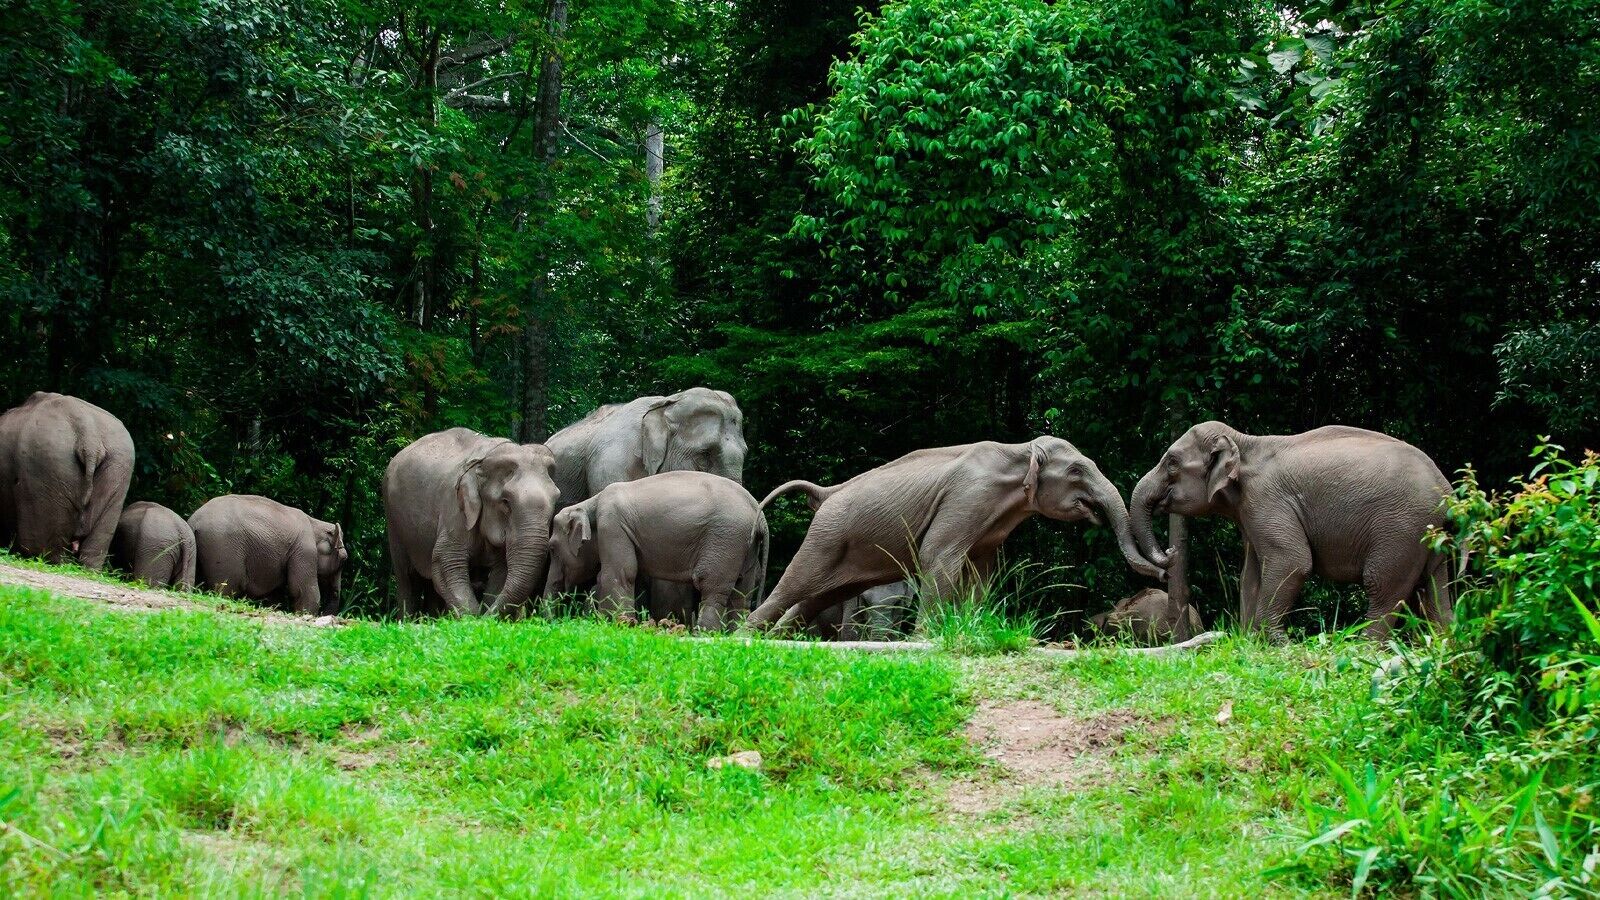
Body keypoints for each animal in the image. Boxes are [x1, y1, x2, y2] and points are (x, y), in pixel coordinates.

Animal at [189, 495, 346, 615]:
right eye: (344, 559)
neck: (315, 522)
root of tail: (193, 522)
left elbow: (273, 592)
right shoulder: (304, 551)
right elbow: (301, 590)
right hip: (223, 547)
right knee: (228, 587)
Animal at [384, 428, 560, 618]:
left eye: (556, 499)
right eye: (506, 502)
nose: (488, 615)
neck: (481, 464)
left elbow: (501, 572)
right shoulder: (455, 511)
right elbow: (445, 561)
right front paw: (474, 617)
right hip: (394, 522)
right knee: (407, 578)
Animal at [543, 471, 768, 632]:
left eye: (552, 548)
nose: (549, 621)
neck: (591, 502)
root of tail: (759, 515)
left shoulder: (612, 523)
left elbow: (620, 573)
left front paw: (620, 624)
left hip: (726, 538)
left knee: (712, 585)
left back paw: (704, 633)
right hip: (746, 546)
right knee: (743, 590)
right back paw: (733, 633)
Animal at [746, 436, 1164, 631]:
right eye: (1077, 471)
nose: (1167, 563)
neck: (1020, 450)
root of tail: (825, 493)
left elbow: (981, 571)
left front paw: (971, 625)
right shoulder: (968, 497)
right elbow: (938, 556)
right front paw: (925, 640)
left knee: (812, 600)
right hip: (826, 537)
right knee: (794, 585)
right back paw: (742, 636)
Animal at [1129, 421, 1453, 643]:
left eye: (1172, 463)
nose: (1170, 554)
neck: (1245, 443)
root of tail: (1446, 487)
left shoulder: (1266, 499)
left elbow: (1292, 562)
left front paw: (1275, 642)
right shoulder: (1250, 510)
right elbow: (1250, 574)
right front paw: (1250, 641)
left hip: (1401, 528)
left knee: (1383, 587)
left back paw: (1366, 648)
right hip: (1426, 536)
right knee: (1435, 591)